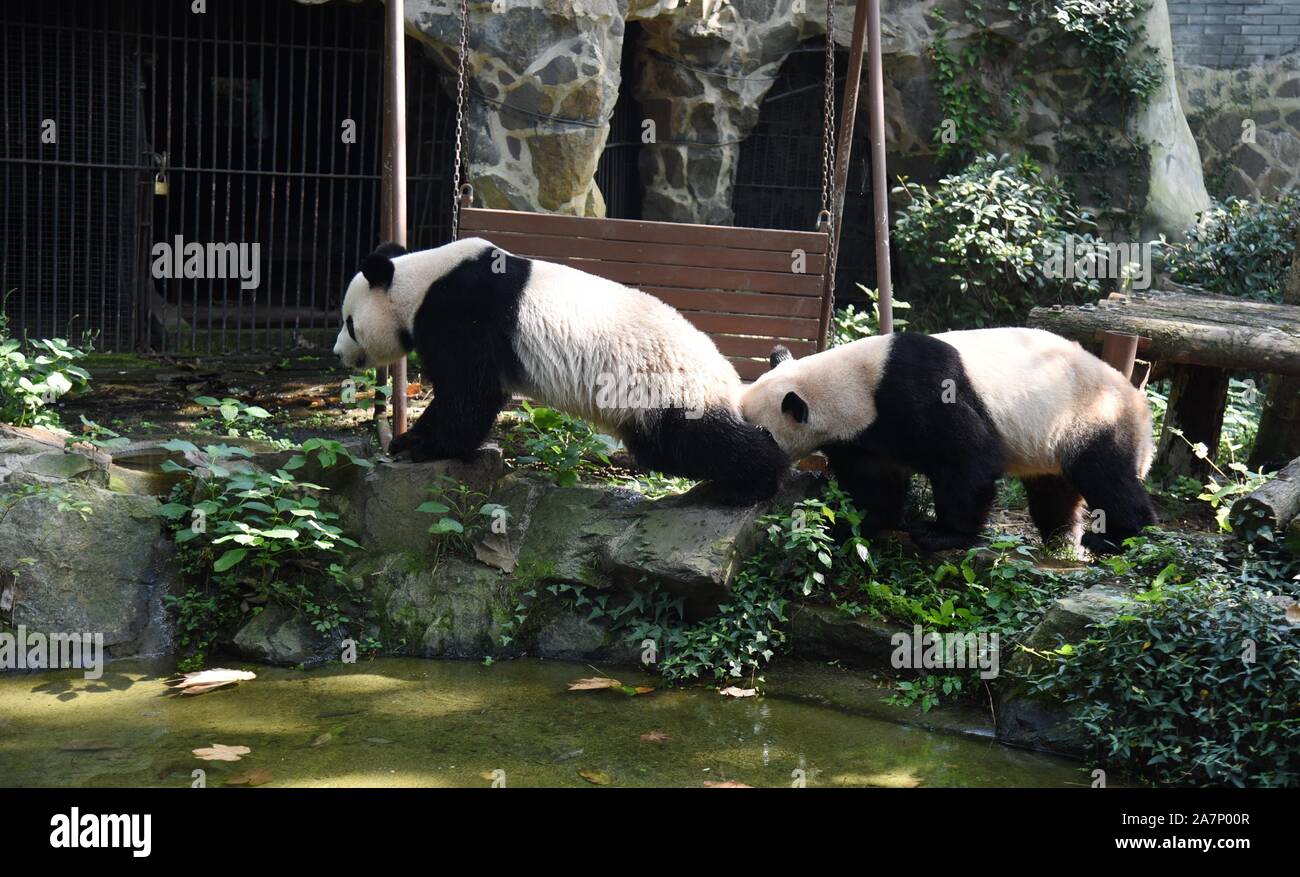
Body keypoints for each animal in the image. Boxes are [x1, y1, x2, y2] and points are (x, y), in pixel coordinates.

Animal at [333, 238, 789, 505]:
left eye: (350, 323)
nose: (339, 353)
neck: (421, 281)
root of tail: (729, 379)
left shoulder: (464, 312)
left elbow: (470, 393)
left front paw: (419, 445)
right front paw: (409, 441)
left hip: (671, 388)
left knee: (703, 439)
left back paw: (761, 476)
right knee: (669, 450)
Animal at [738, 327, 1157, 554]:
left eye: (764, 435)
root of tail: (1140, 403)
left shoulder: (921, 391)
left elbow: (969, 457)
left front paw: (941, 533)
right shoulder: (865, 432)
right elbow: (873, 479)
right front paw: (857, 522)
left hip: (1090, 416)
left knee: (1106, 477)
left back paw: (1120, 537)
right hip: (1055, 441)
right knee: (1053, 493)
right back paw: (1061, 540)